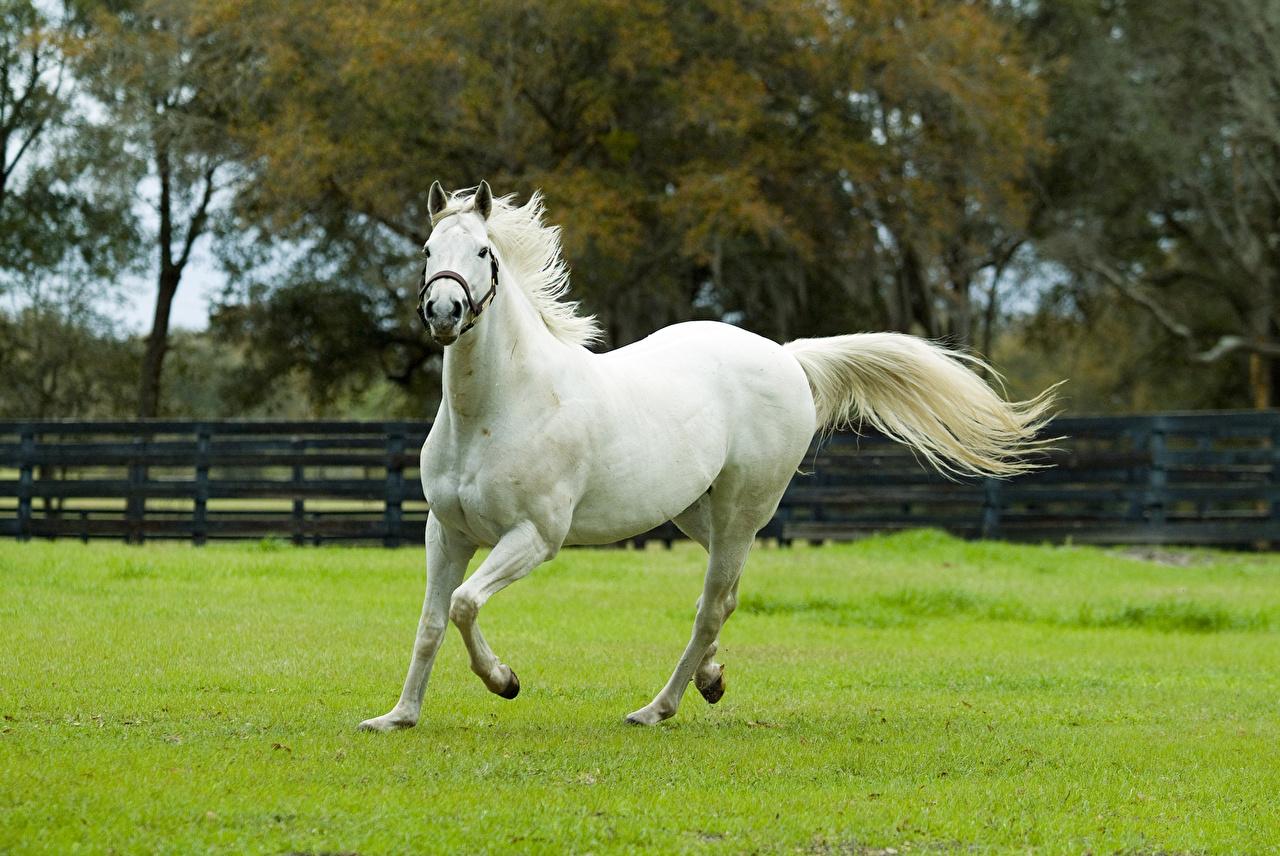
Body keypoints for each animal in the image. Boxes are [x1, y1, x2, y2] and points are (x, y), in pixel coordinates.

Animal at [358, 181, 1055, 731]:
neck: (498, 409)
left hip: (743, 511)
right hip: (700, 512)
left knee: (711, 603)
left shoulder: (535, 536)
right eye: (428, 251)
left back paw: (657, 708)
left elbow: (463, 604)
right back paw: (710, 679)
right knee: (729, 596)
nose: (443, 311)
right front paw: (398, 717)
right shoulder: (445, 532)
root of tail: (787, 357)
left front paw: (504, 681)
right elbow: (432, 621)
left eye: (484, 252)